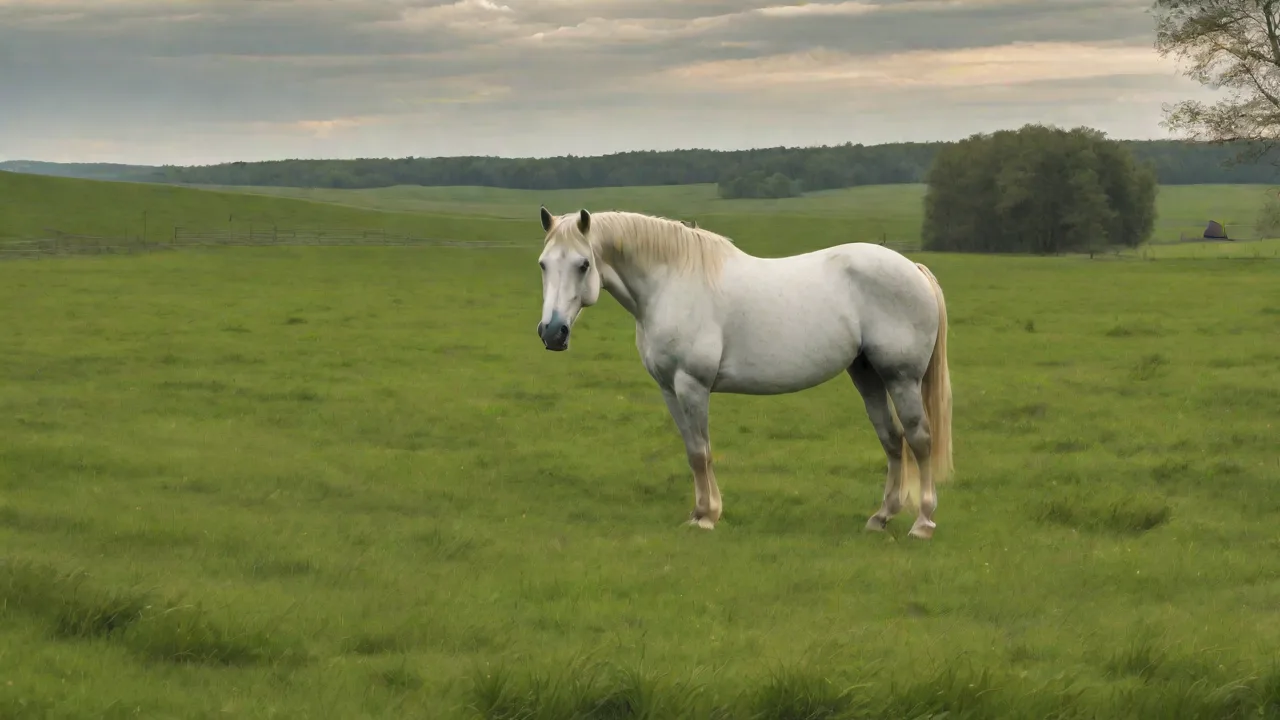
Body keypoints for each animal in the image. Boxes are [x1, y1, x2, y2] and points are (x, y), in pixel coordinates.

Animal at [534, 207, 953, 539]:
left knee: (919, 440)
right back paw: (881, 517)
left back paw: (923, 522)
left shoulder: (692, 385)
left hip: (901, 378)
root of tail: (913, 269)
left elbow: (702, 452)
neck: (670, 283)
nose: (552, 333)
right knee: (892, 439)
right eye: (543, 264)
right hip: (867, 375)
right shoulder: (669, 389)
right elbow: (692, 451)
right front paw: (698, 512)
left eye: (583, 264)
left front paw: (708, 516)